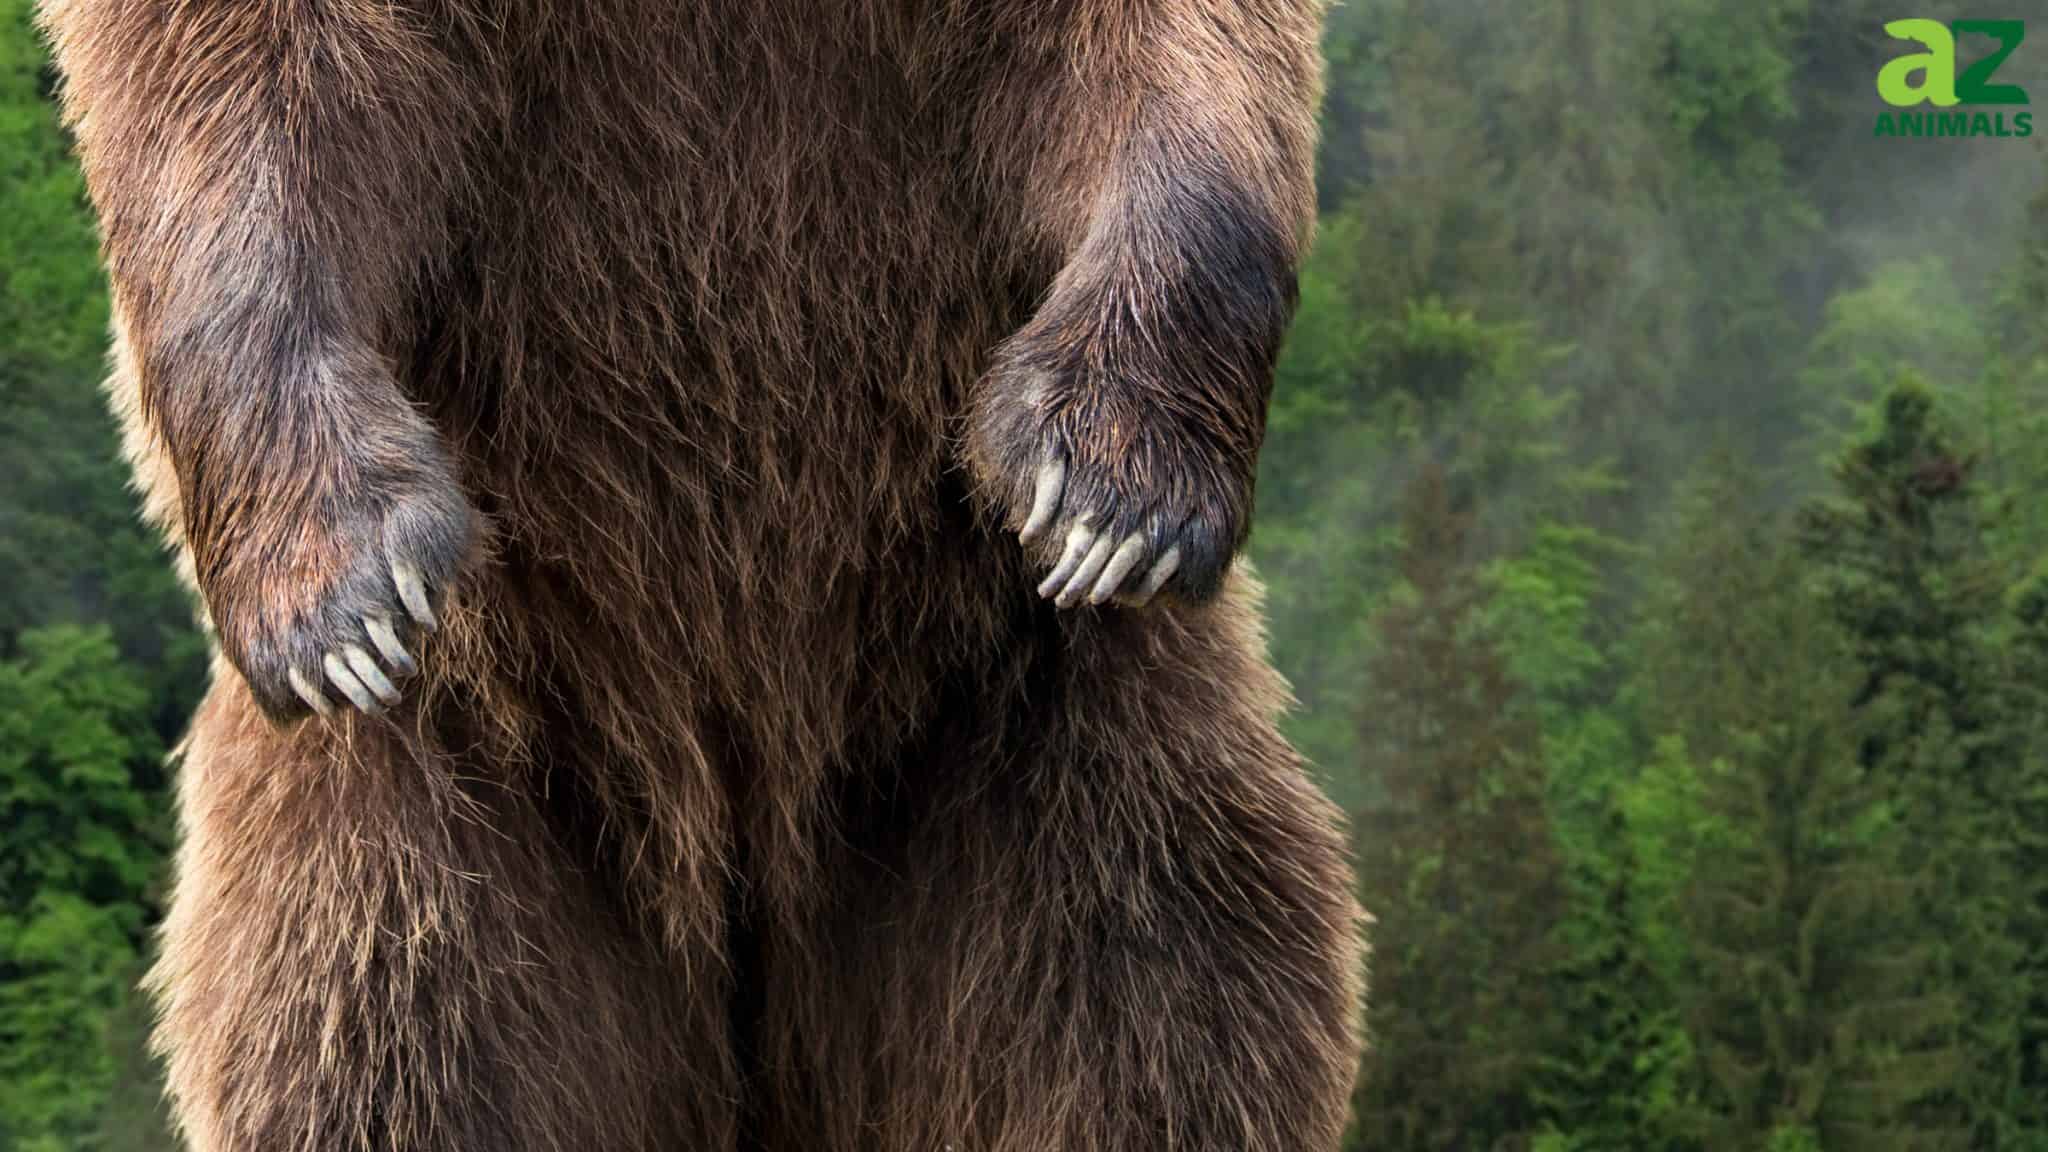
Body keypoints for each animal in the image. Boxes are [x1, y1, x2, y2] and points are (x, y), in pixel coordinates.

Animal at [40, 1, 1366, 1149]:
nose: (344, 614)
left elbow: (1161, 59)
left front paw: (1104, 488)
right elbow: (245, 93)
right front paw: (344, 592)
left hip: (1014, 737)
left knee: (1138, 993)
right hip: (468, 796)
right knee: (390, 1029)